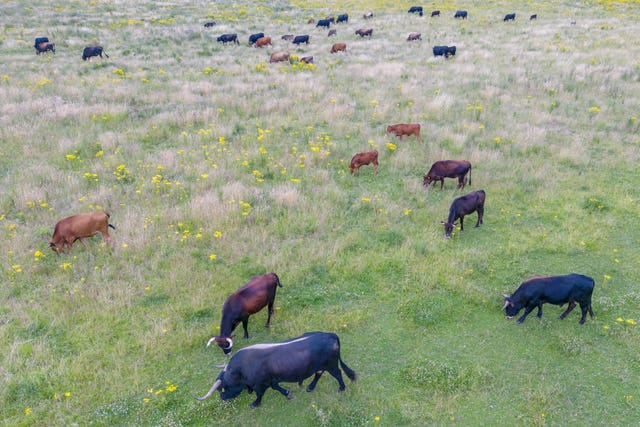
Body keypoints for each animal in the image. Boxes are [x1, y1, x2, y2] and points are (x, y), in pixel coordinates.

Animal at [195, 332, 357, 408]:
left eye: (222, 388)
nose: (222, 398)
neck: (240, 370)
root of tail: (330, 334)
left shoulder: (260, 384)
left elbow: (260, 394)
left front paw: (255, 404)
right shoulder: (271, 380)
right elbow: (276, 387)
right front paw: (288, 393)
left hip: (331, 365)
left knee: (338, 374)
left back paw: (341, 388)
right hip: (322, 366)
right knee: (319, 373)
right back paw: (310, 387)